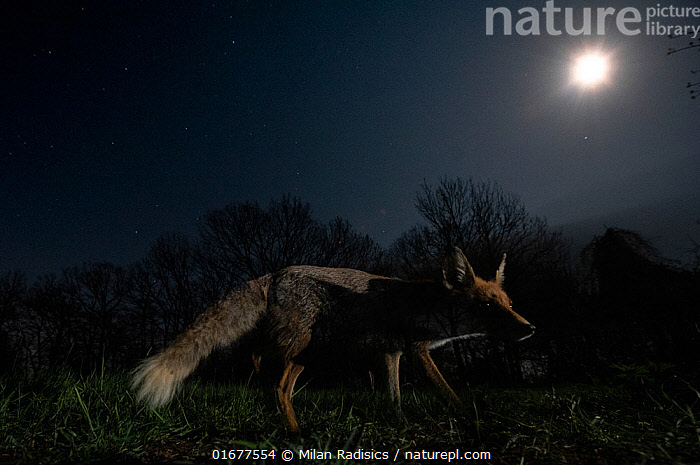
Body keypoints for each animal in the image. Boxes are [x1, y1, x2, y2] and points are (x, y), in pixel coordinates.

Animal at [131, 247, 534, 432]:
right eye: (486, 306)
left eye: (509, 305)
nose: (530, 328)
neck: (424, 309)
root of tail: (275, 272)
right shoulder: (412, 350)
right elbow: (443, 392)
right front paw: (470, 419)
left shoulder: (388, 353)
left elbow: (390, 395)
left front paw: (395, 421)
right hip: (299, 347)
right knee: (275, 383)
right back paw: (295, 434)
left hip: (303, 353)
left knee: (260, 361)